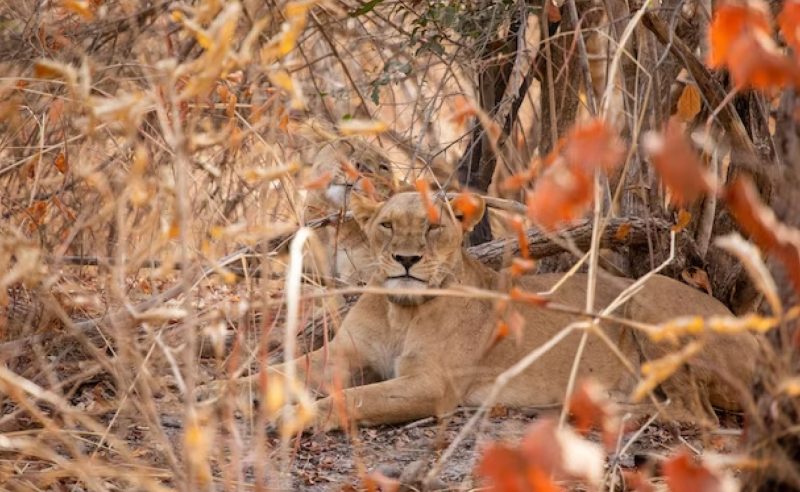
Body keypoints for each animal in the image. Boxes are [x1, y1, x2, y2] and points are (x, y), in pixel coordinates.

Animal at [242, 191, 760, 431]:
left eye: (433, 227)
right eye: (387, 225)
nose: (406, 259)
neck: (400, 311)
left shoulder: (433, 386)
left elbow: (355, 398)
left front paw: (293, 416)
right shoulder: (343, 355)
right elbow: (275, 372)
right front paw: (228, 392)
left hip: (644, 298)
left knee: (695, 414)